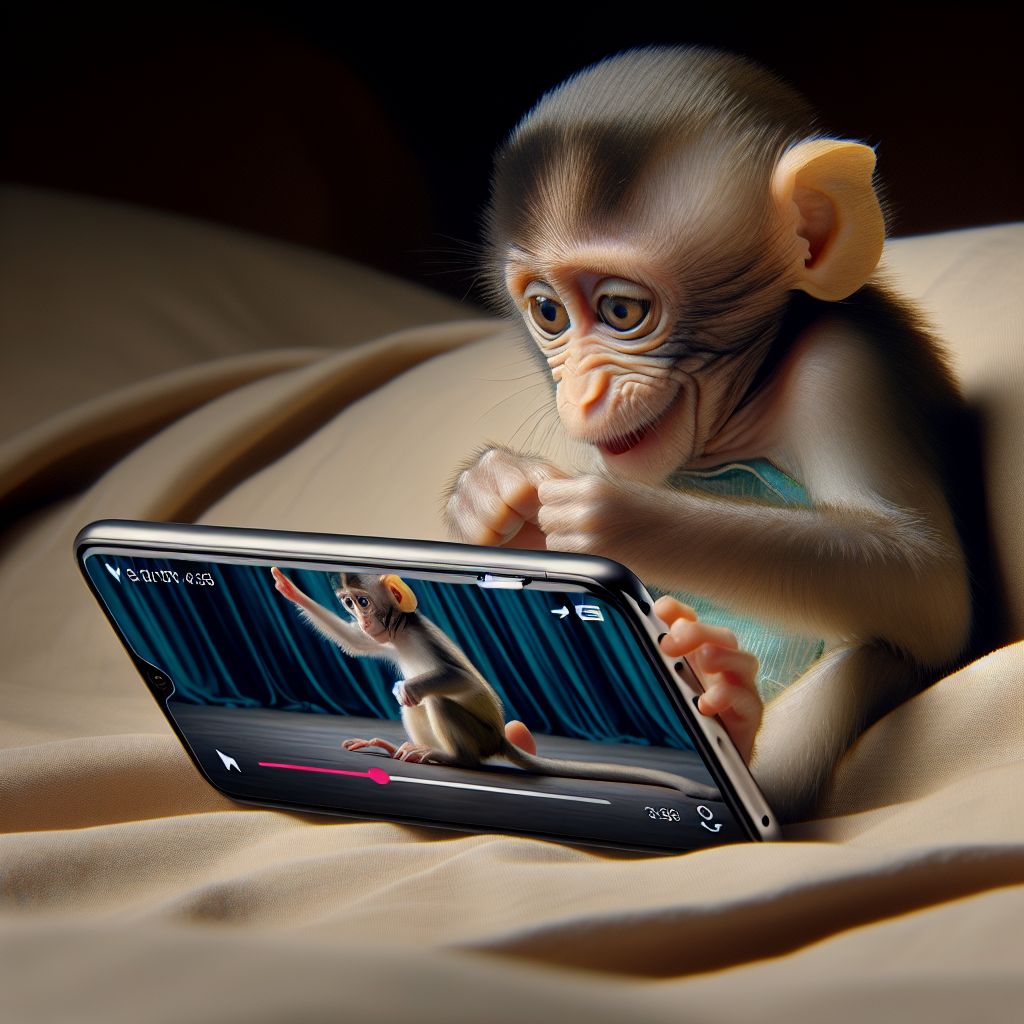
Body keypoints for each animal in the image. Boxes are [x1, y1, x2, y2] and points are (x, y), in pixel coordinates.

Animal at [270, 565, 721, 800]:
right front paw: (291, 588)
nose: (362, 618)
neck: (399, 630)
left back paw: (451, 757)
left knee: (434, 702)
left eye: (362, 602)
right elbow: (358, 645)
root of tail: (499, 740)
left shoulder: (419, 636)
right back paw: (400, 747)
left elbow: (458, 678)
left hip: (479, 736)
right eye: (348, 604)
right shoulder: (389, 639)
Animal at [442, 44, 977, 824]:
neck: (748, 394)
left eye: (622, 310)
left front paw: (617, 516)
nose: (581, 393)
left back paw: (733, 713)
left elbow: (929, 584)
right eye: (548, 313)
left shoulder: (845, 373)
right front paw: (492, 495)